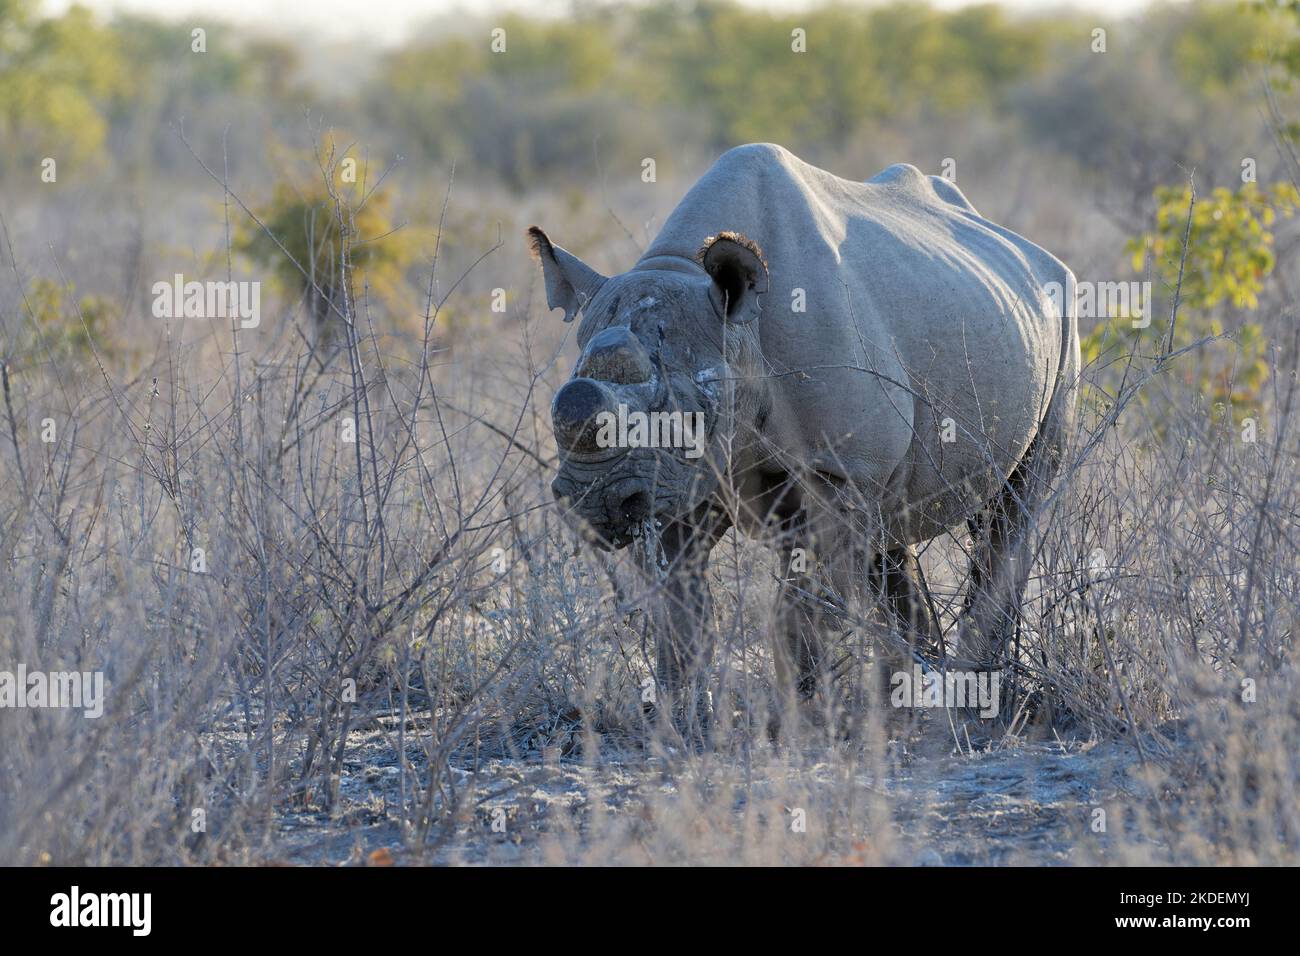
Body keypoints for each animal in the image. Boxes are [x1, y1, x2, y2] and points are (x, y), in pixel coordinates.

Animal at [530, 143, 1079, 738]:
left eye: (688, 414)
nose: (593, 501)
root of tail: (1036, 254)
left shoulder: (835, 467)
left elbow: (797, 605)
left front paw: (798, 726)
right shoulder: (674, 482)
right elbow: (682, 614)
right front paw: (681, 727)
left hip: (1064, 319)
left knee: (1012, 510)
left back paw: (969, 707)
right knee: (890, 540)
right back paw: (919, 703)